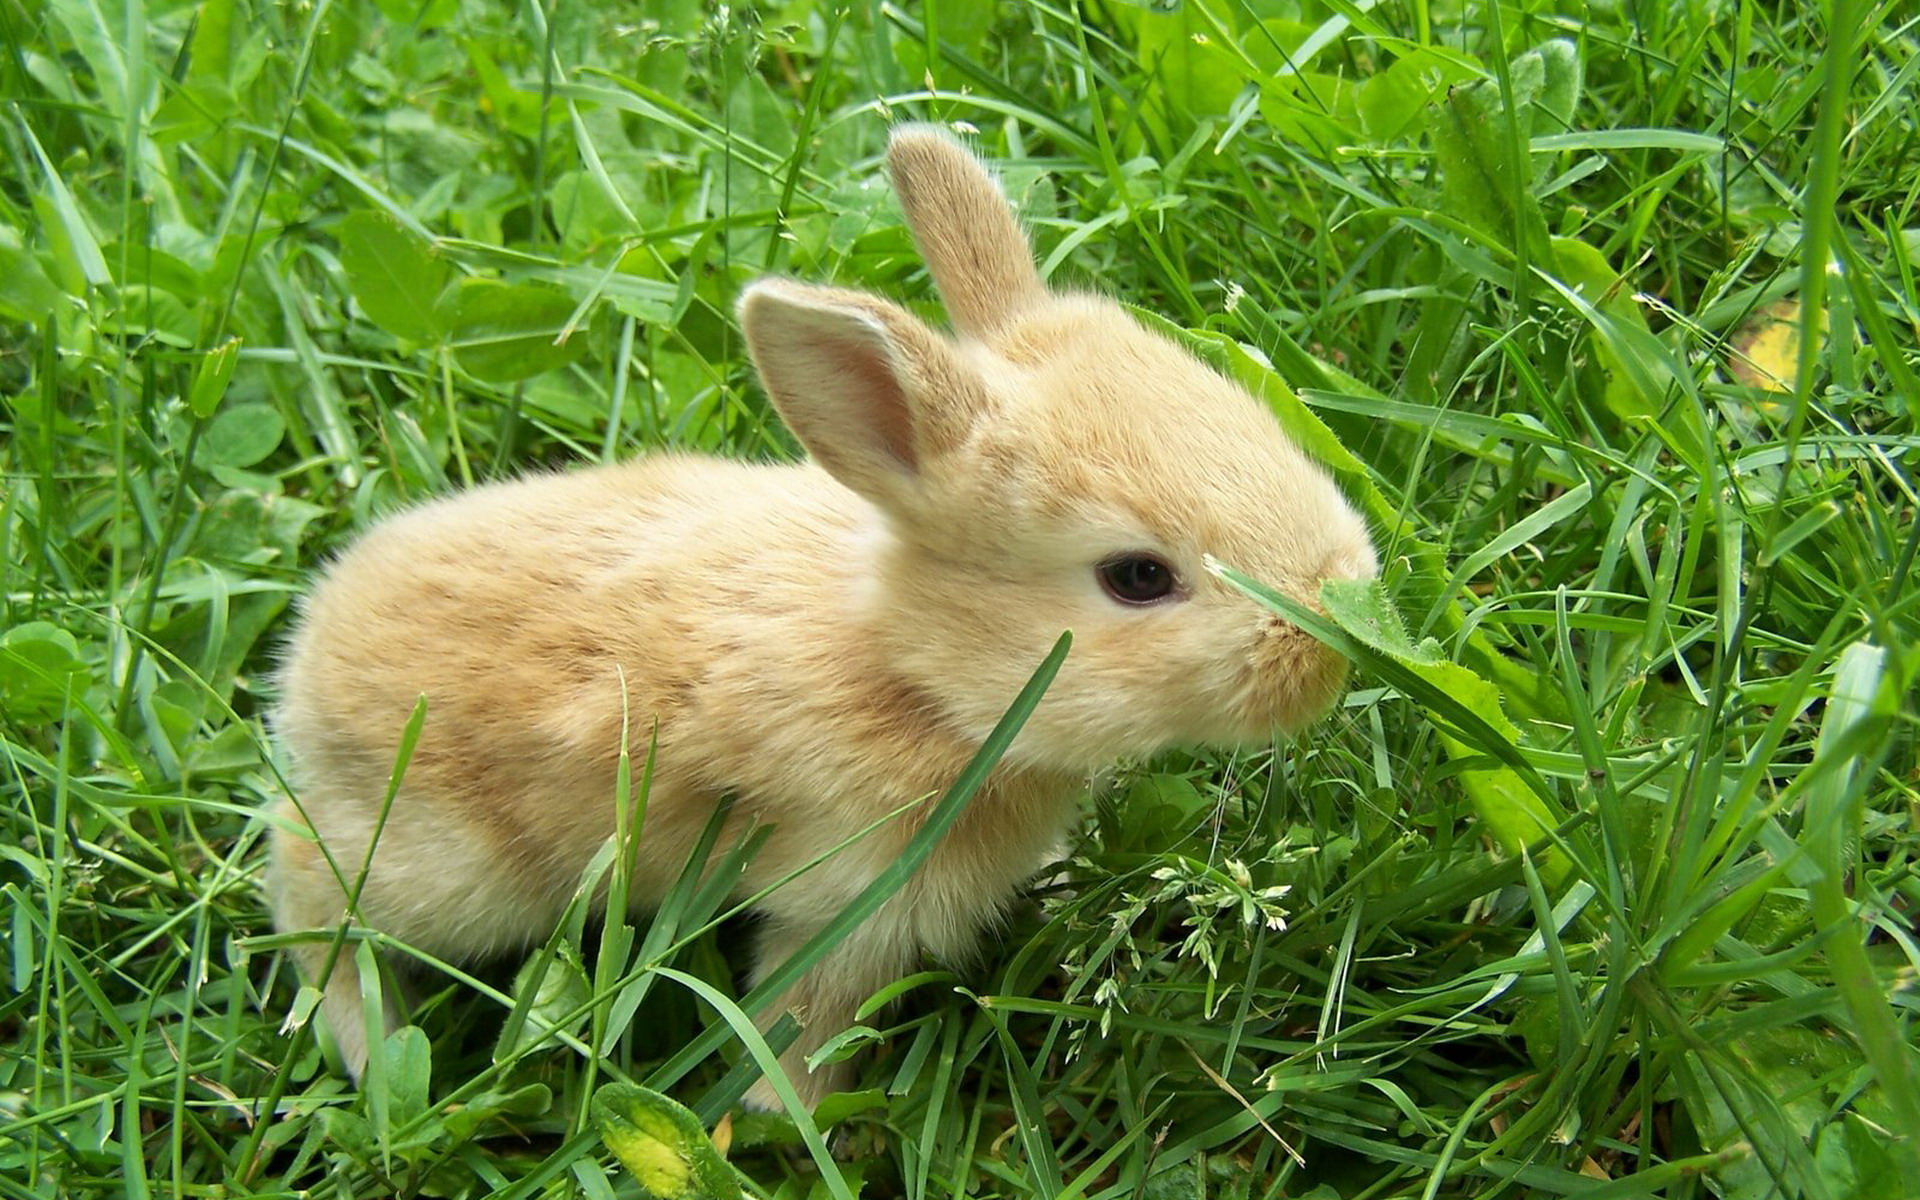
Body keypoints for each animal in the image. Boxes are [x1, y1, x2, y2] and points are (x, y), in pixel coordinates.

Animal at [270, 126, 1382, 1105]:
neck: (913, 672)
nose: (1332, 633)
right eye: (1139, 577)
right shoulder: (845, 897)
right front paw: (785, 1117)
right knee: (309, 896)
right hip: (449, 868)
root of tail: (309, 655)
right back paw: (370, 1050)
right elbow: (804, 1018)